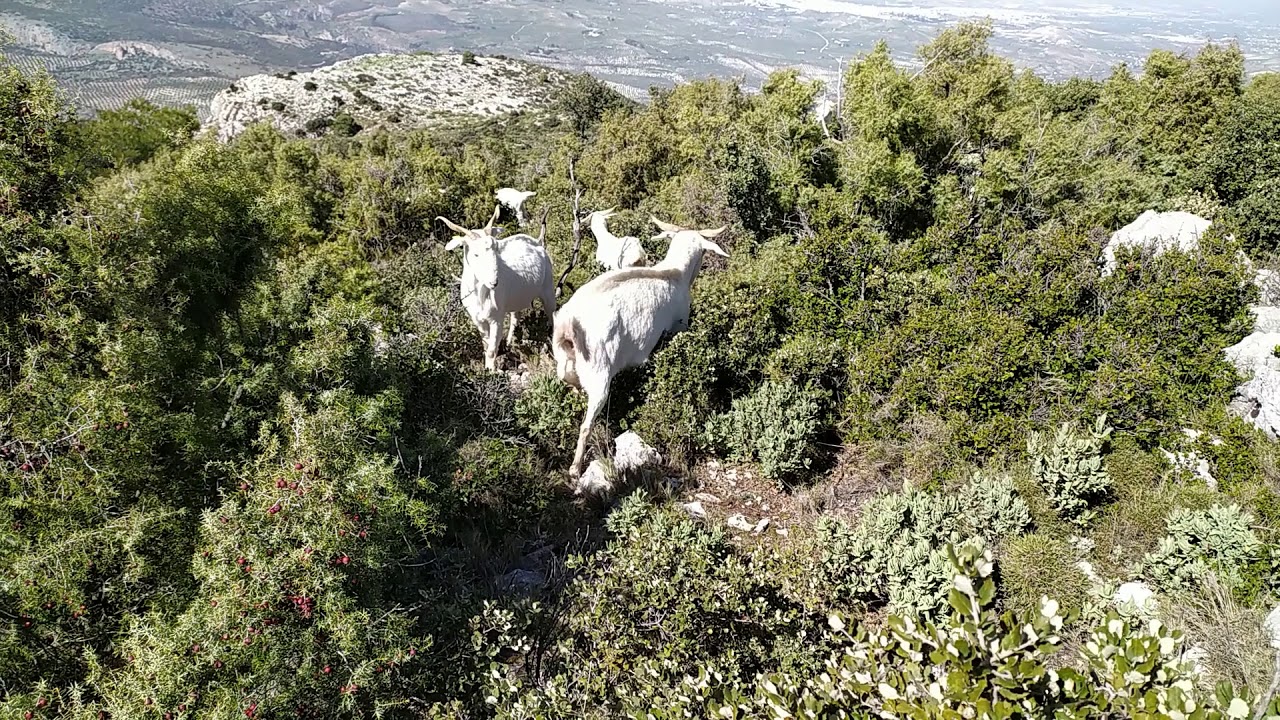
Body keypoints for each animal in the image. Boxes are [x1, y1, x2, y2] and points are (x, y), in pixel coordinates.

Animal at [439, 205, 556, 371]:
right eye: (475, 254)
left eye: (495, 248)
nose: (494, 281)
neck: (480, 295)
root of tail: (537, 242)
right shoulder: (478, 320)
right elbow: (486, 345)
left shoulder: (497, 319)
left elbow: (492, 349)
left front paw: (491, 371)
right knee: (515, 317)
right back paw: (509, 342)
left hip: (548, 289)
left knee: (552, 315)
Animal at [551, 216, 728, 477]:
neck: (673, 272)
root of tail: (569, 323)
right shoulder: (679, 326)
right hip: (599, 373)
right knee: (586, 424)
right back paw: (575, 468)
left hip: (564, 360)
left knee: (568, 379)